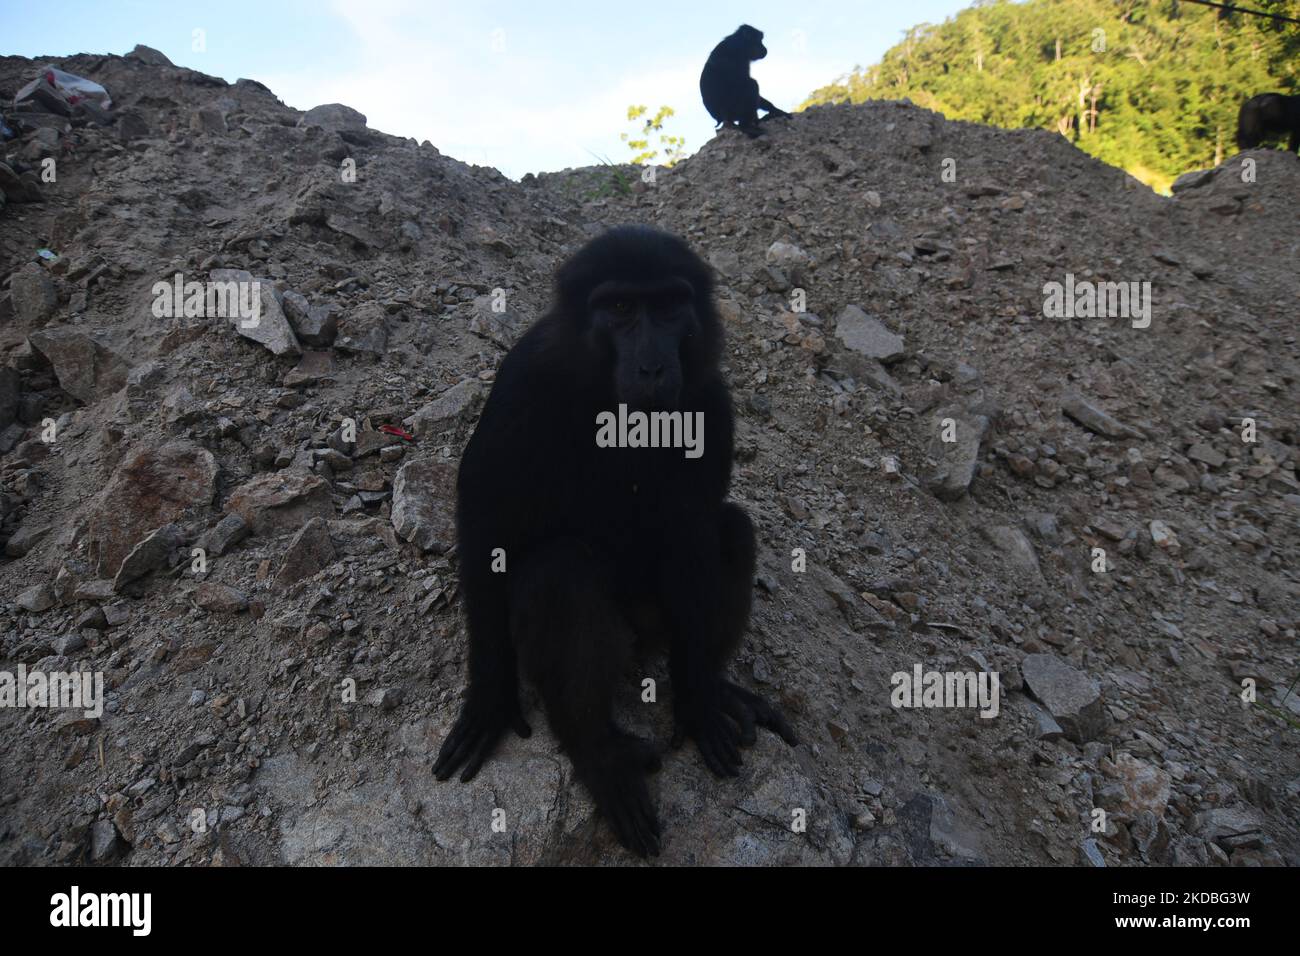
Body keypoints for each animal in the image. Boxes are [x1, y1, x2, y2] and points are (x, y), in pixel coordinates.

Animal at [433, 226, 797, 857]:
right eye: (621, 307)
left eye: (670, 306)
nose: (652, 367)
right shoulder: (524, 378)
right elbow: (488, 528)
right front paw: (490, 695)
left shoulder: (711, 400)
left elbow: (695, 534)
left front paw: (697, 702)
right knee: (559, 571)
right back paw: (599, 755)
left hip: (655, 623)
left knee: (730, 530)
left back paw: (711, 686)